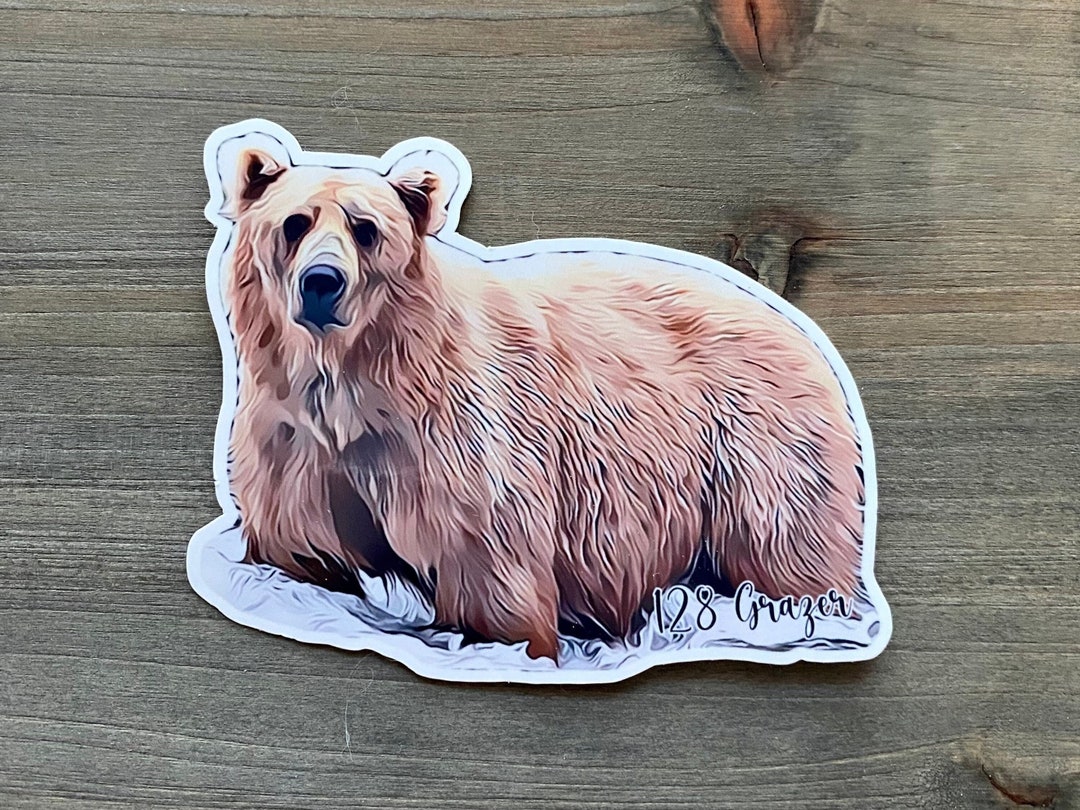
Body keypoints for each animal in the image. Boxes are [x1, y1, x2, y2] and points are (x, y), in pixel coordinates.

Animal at [214, 129, 866, 663]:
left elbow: (490, 564)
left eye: (365, 229)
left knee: (786, 545)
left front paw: (496, 640)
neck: (355, 379)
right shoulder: (294, 438)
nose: (322, 282)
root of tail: (802, 332)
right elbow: (300, 543)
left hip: (755, 446)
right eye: (296, 223)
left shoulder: (459, 442)